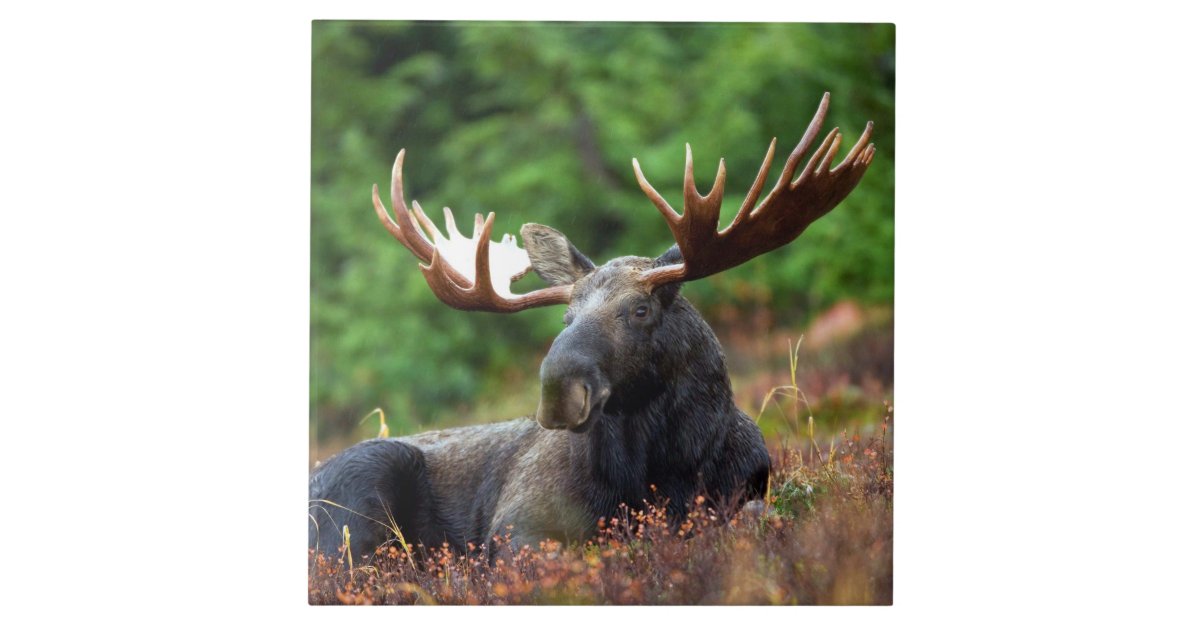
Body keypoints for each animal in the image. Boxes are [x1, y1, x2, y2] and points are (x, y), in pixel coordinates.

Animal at [308, 93, 876, 562]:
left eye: (641, 310)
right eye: (567, 316)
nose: (558, 391)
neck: (662, 472)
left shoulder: (748, 491)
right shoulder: (517, 524)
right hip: (360, 492)